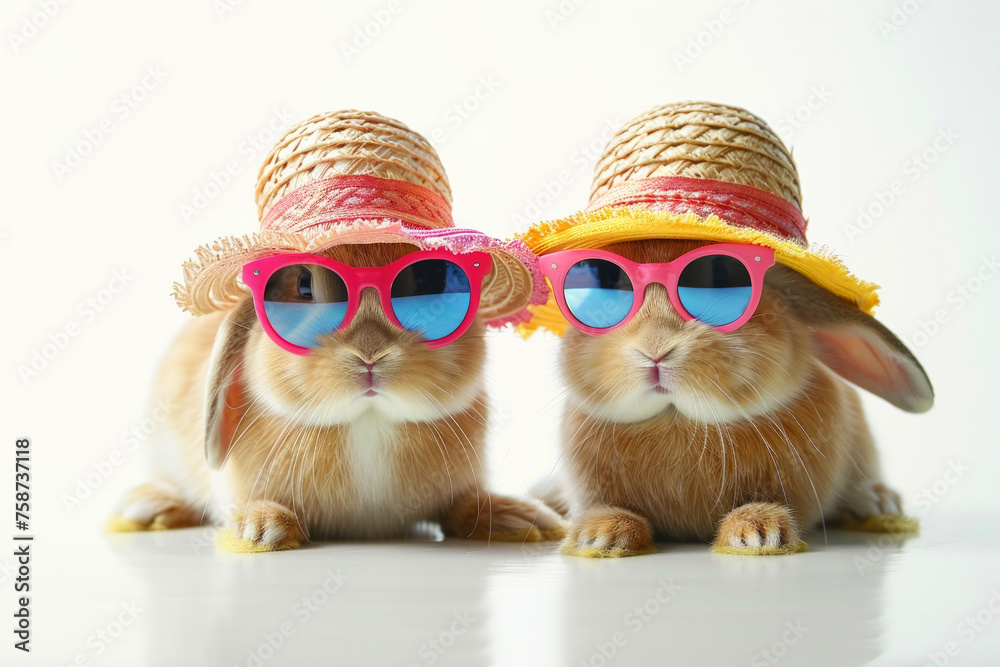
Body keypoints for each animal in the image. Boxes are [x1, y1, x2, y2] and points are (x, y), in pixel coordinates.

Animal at [109, 242, 566, 551]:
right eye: (303, 285)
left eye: (426, 280)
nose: (370, 352)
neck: (369, 420)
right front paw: (261, 529)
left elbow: (461, 506)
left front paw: (521, 519)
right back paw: (146, 508)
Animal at [550, 239, 934, 557]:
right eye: (605, 285)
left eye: (720, 279)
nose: (655, 350)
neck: (675, 420)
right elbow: (610, 510)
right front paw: (600, 537)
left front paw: (759, 533)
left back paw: (877, 502)